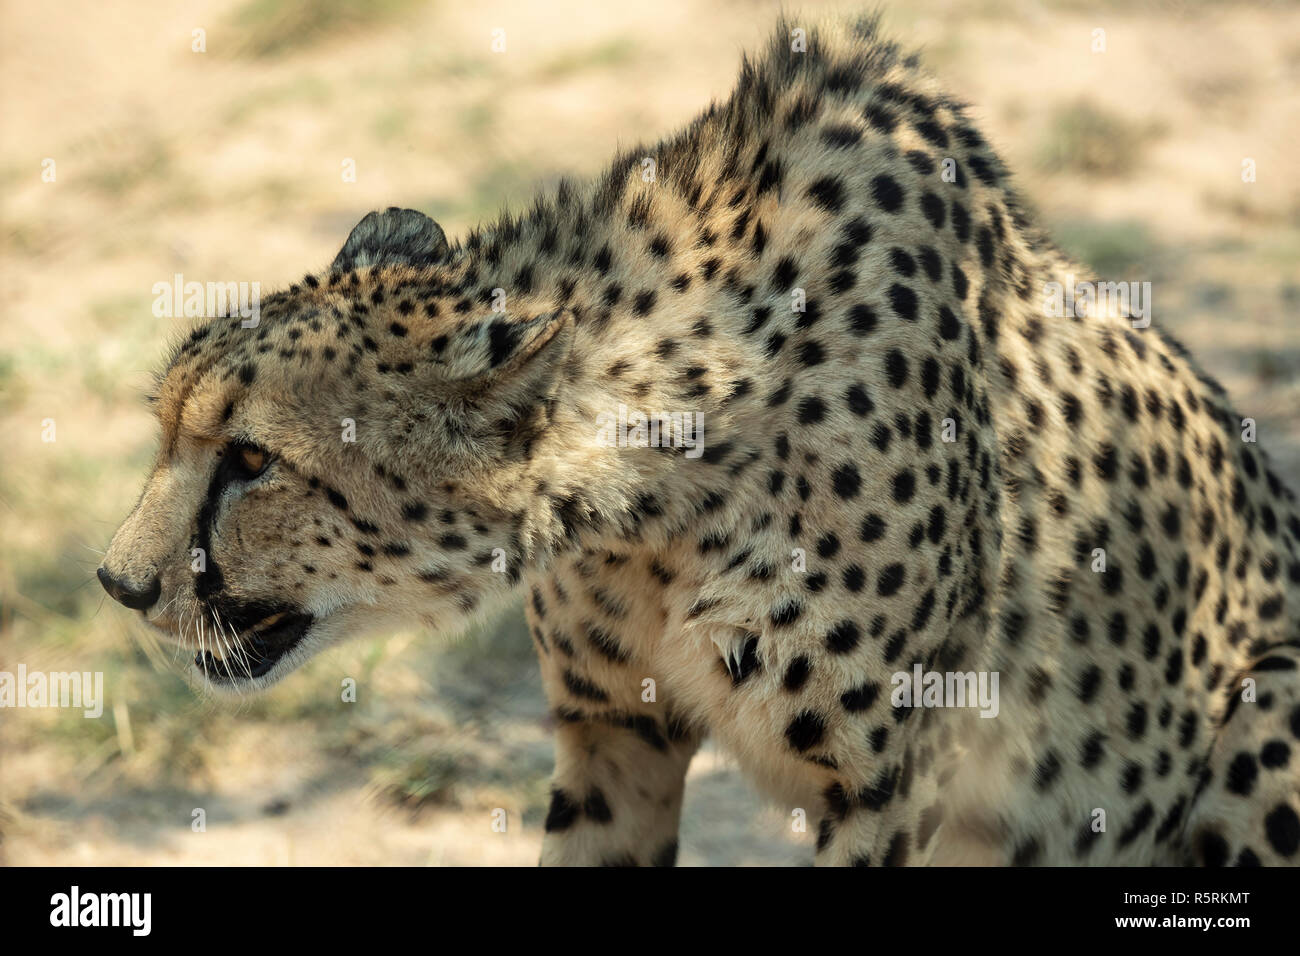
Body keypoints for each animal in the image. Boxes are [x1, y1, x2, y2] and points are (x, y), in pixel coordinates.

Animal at [98, 14, 1300, 866]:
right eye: (168, 428)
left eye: (253, 459)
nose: (117, 581)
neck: (661, 494)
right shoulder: (612, 732)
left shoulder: (890, 786)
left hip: (1262, 717)